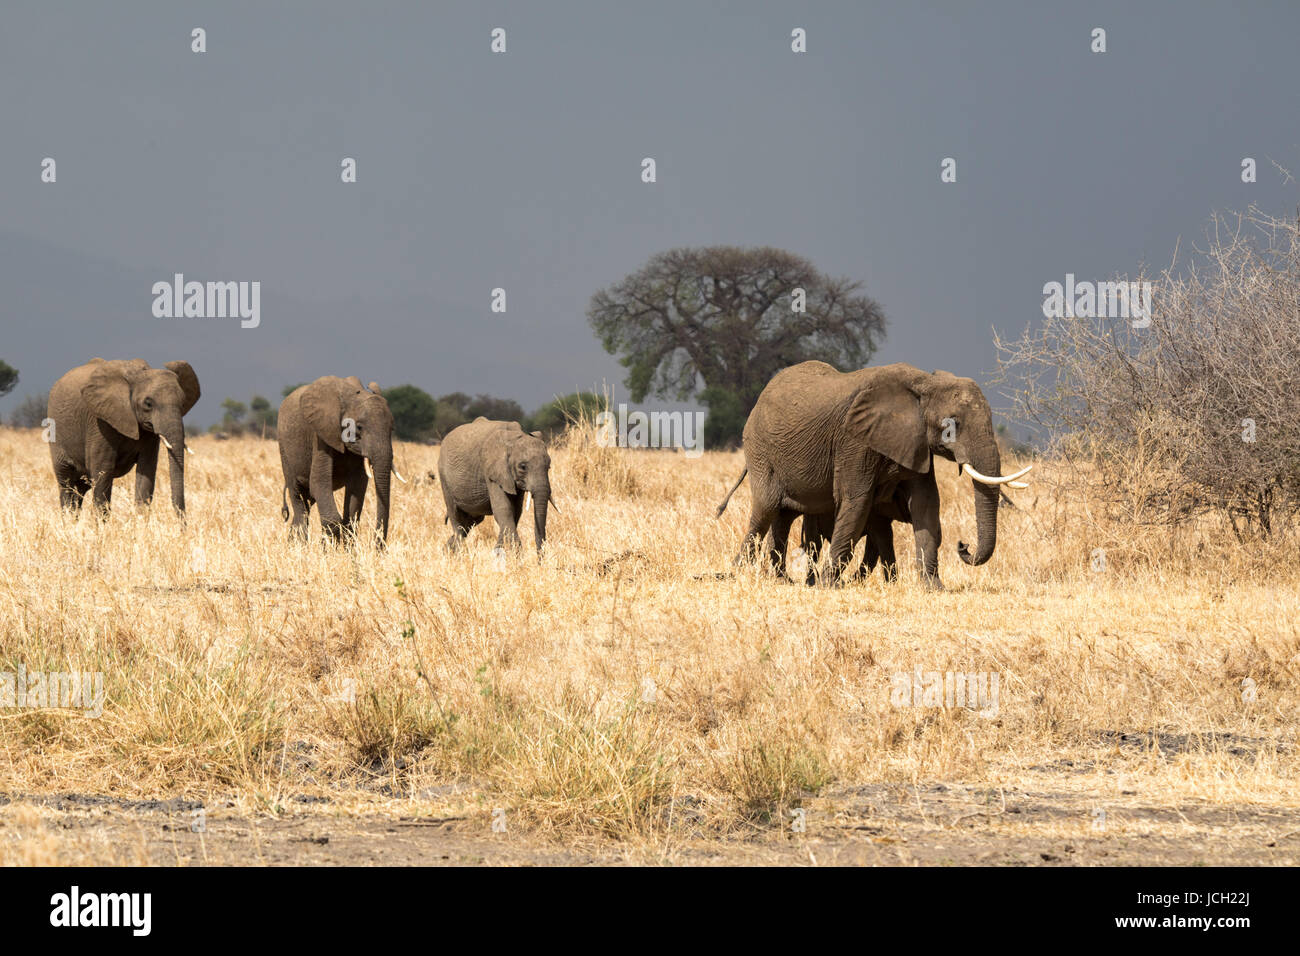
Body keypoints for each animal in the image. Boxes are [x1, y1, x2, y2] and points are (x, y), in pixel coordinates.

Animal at [46, 358, 201, 514]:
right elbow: (103, 471)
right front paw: (101, 521)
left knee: (80, 489)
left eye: (183, 403)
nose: (182, 521)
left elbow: (146, 471)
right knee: (67, 484)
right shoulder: (99, 423)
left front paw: (140, 519)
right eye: (148, 403)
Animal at [278, 376, 403, 543]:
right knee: (299, 500)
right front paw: (330, 547)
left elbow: (357, 489)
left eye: (392, 429)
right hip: (284, 450)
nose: (379, 548)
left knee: (308, 502)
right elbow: (318, 482)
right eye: (359, 427)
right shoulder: (321, 435)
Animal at [438, 418, 552, 554]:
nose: (540, 558)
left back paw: (447, 551)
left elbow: (515, 511)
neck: (514, 437)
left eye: (549, 466)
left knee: (470, 522)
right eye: (523, 467)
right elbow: (503, 510)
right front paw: (513, 553)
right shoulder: (492, 471)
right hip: (444, 478)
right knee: (457, 519)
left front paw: (500, 550)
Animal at [716, 361, 1031, 585]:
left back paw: (782, 581)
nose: (964, 545)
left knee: (783, 515)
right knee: (766, 509)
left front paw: (933, 587)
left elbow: (927, 504)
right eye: (951, 425)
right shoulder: (854, 441)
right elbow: (857, 502)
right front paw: (829, 585)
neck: (924, 382)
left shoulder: (913, 443)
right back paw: (736, 576)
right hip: (759, 447)